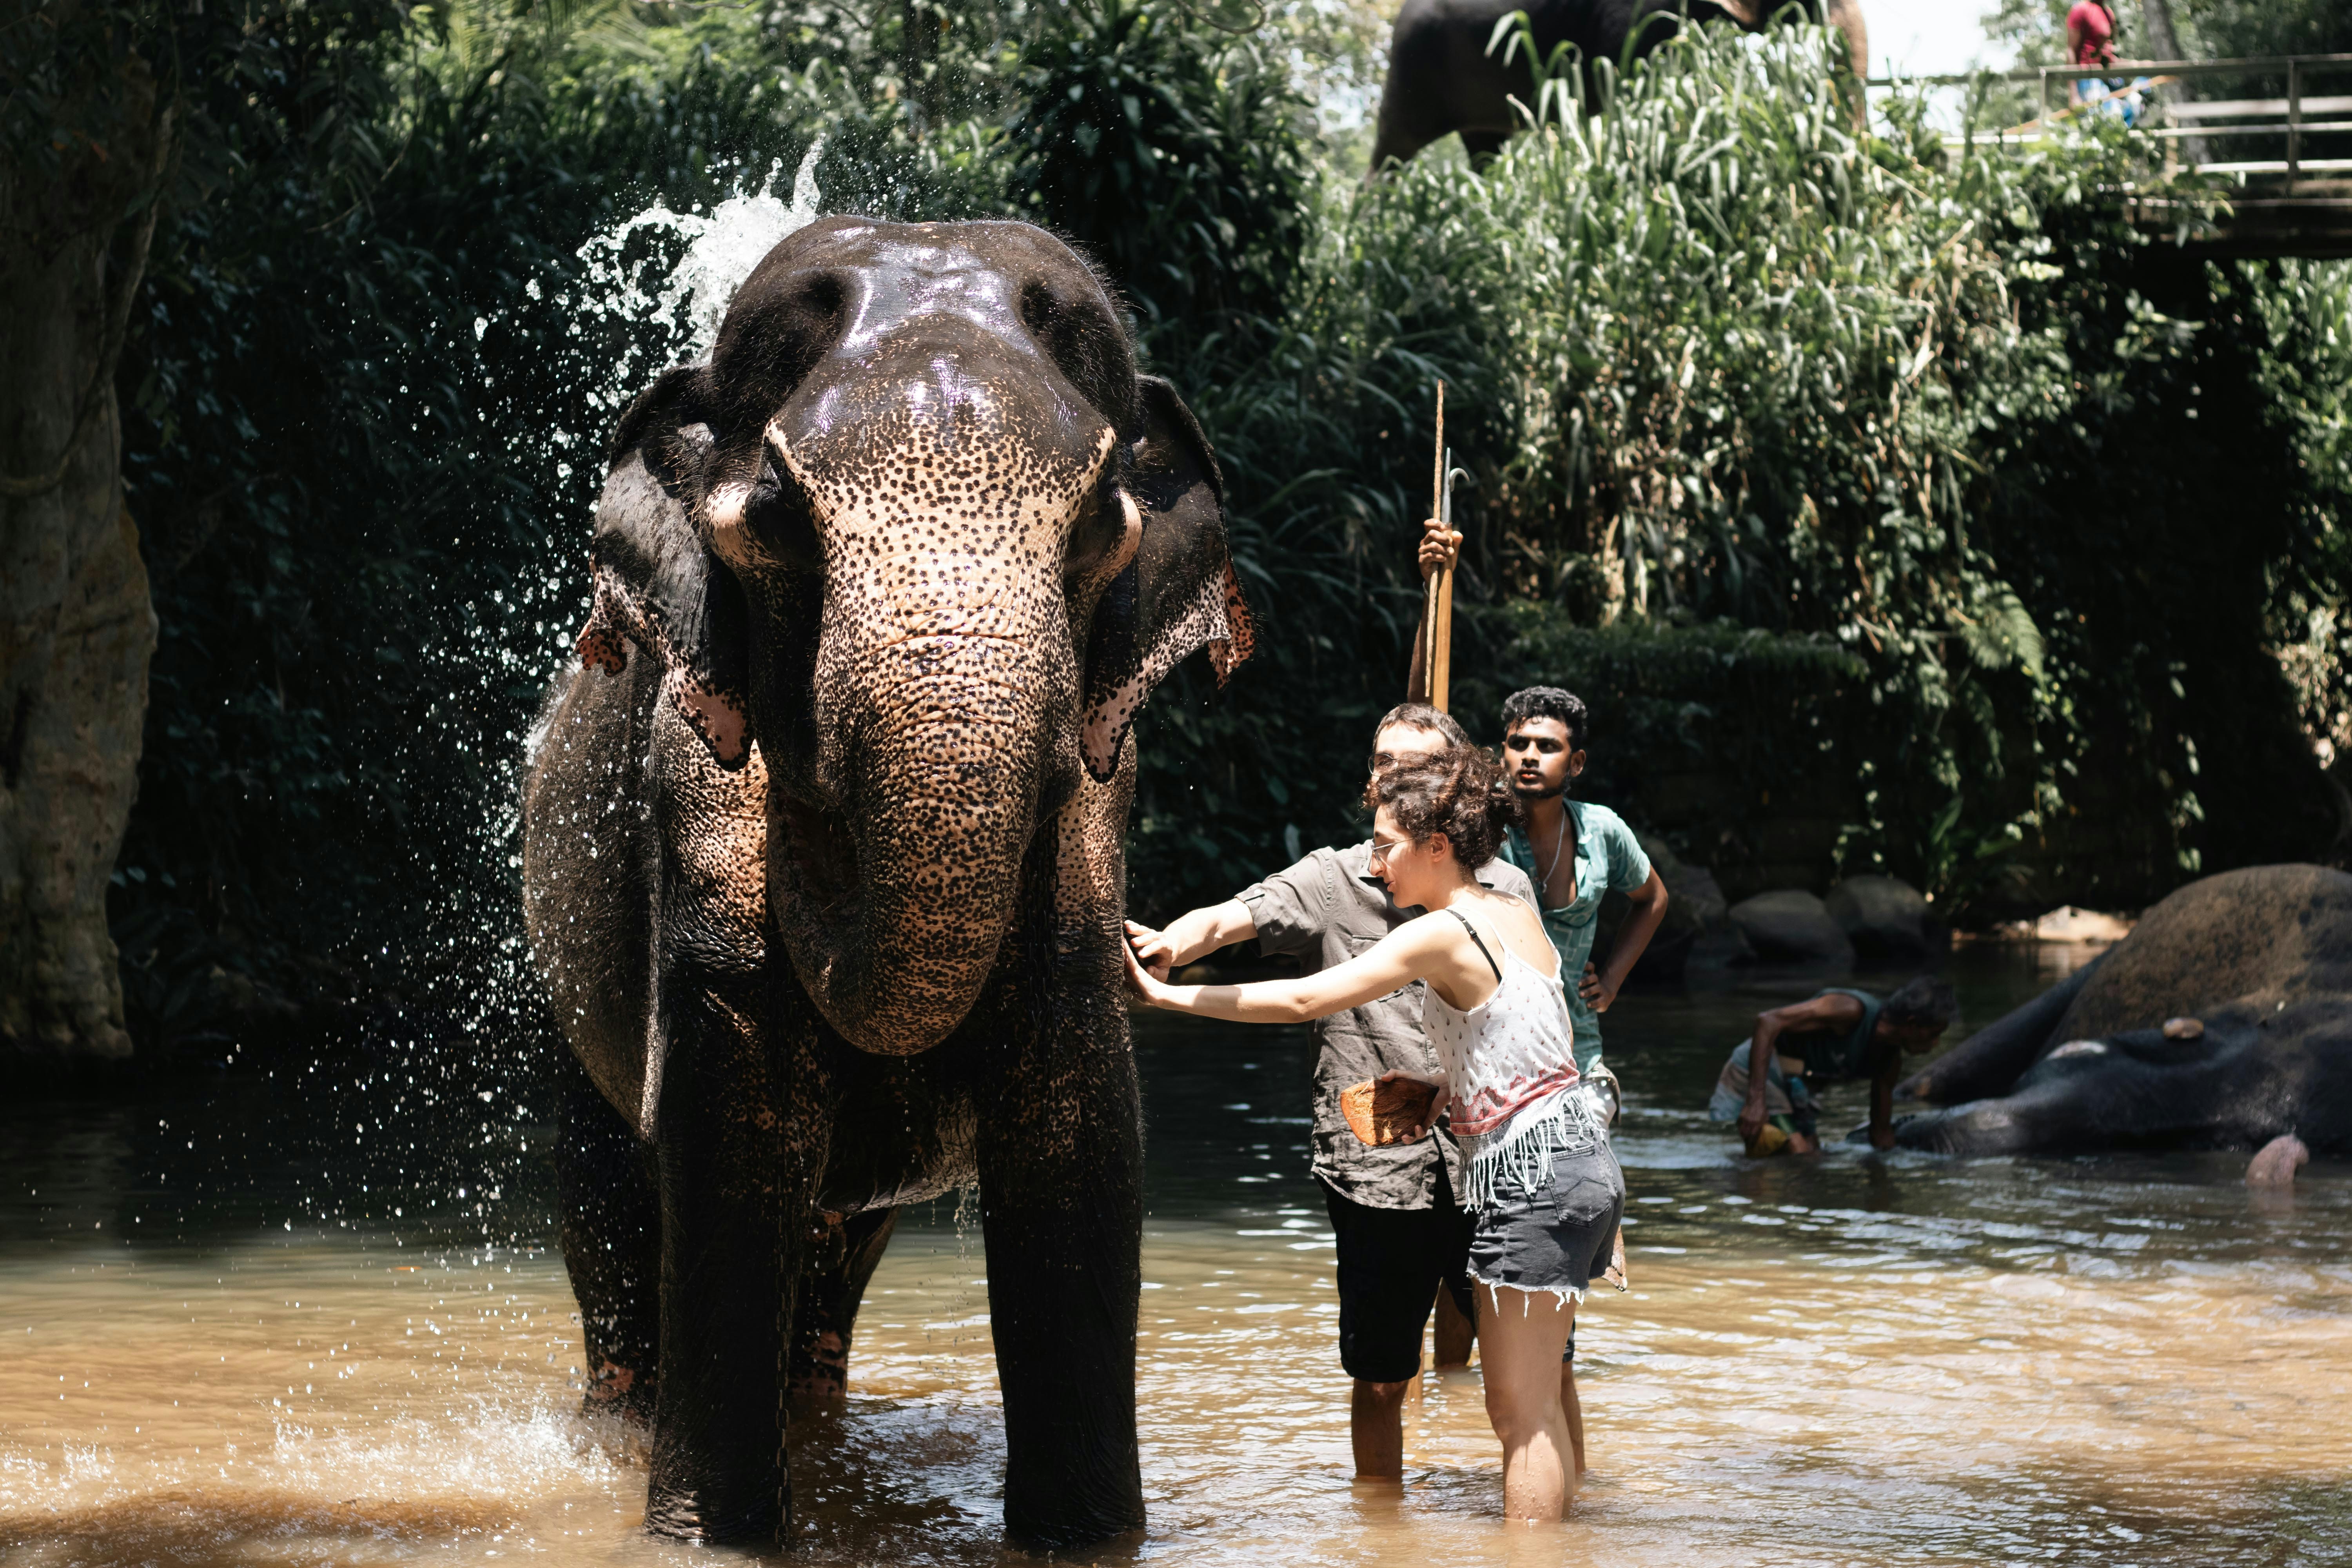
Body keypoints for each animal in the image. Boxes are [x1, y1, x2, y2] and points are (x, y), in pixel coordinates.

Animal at [520, 216, 1253, 1549]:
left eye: (1101, 528)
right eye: (771, 520)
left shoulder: (1094, 800)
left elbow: (1079, 1139)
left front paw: (1084, 1540)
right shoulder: (687, 779)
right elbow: (726, 1127)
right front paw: (710, 1541)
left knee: (831, 1262)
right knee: (608, 1213)